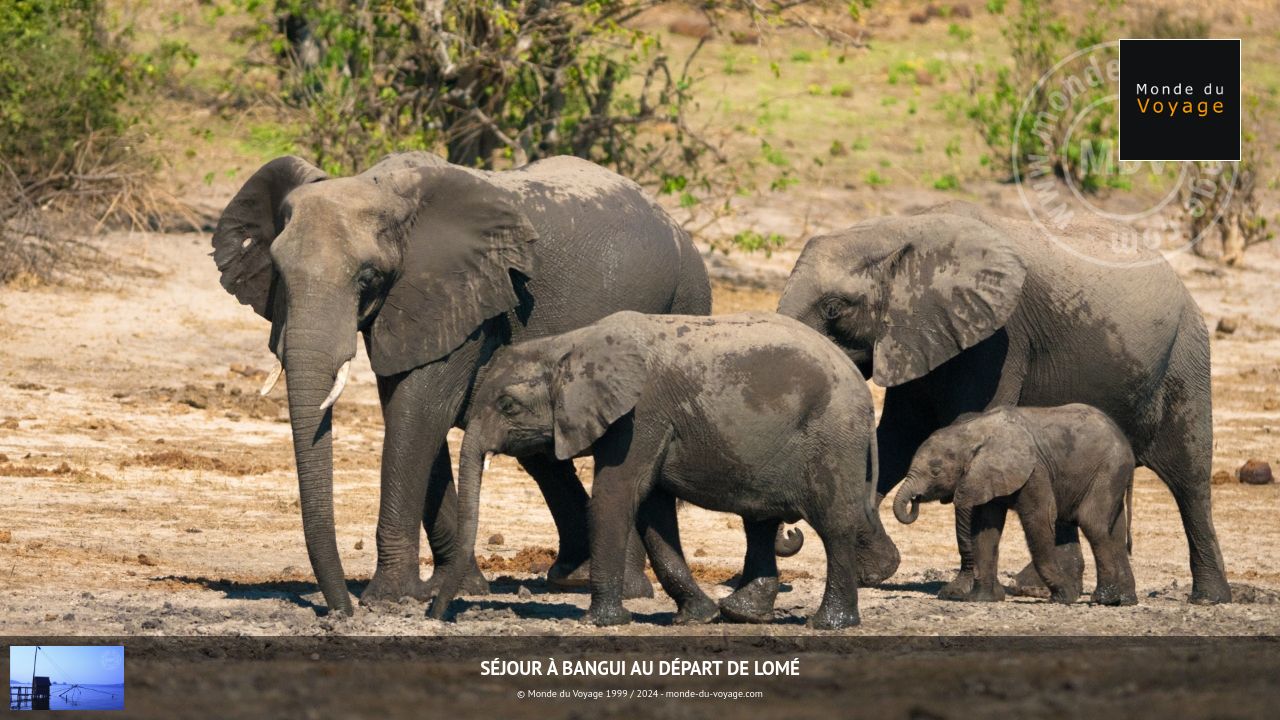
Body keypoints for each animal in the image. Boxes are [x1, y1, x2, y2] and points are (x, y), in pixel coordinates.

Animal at [209, 151, 711, 609]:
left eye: (368, 276)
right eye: (278, 273)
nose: (341, 610)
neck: (383, 189)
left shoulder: (463, 297)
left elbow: (418, 413)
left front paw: (387, 599)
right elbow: (408, 413)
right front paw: (456, 588)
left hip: (685, 298)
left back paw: (626, 589)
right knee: (543, 456)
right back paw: (572, 578)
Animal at [424, 311, 896, 625]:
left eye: (508, 405)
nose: (438, 614)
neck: (568, 344)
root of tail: (859, 381)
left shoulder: (641, 414)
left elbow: (616, 498)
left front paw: (599, 622)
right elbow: (653, 513)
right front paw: (697, 618)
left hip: (832, 435)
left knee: (834, 524)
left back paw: (828, 624)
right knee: (760, 521)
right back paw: (741, 614)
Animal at [896, 407, 1136, 602]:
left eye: (935, 472)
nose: (915, 500)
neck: (973, 432)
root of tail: (1127, 445)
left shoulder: (1035, 470)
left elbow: (1039, 519)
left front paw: (1064, 597)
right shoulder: (985, 475)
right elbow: (985, 529)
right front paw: (983, 599)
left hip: (1108, 469)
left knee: (1092, 523)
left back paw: (1103, 599)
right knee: (1115, 531)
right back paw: (1123, 600)